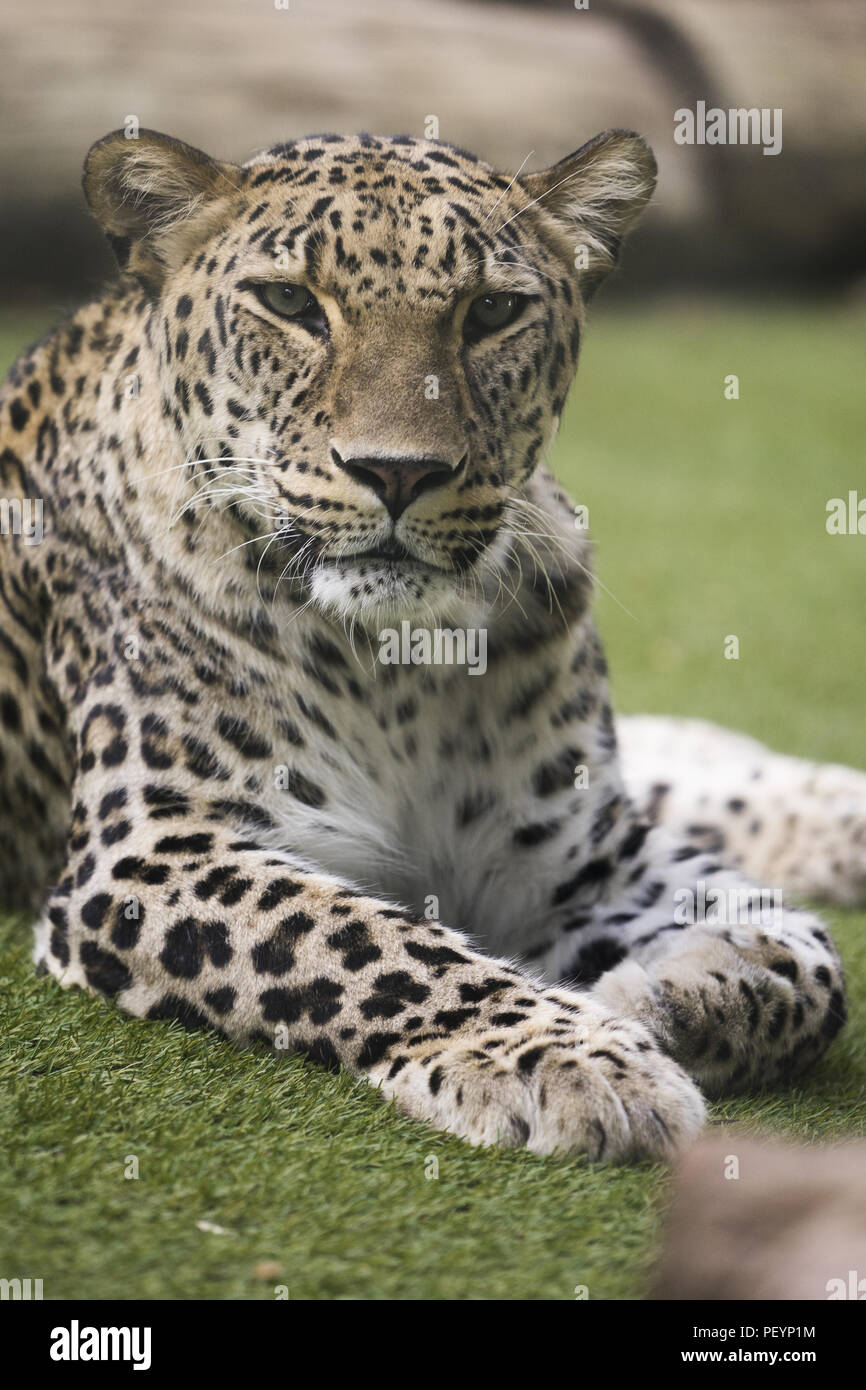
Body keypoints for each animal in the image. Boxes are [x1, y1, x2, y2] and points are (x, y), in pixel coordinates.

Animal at [0, 125, 862, 1161]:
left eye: (491, 310)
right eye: (290, 302)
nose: (399, 472)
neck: (403, 666)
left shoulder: (573, 845)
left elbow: (804, 954)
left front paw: (673, 988)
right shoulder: (149, 856)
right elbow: (367, 944)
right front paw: (574, 1059)